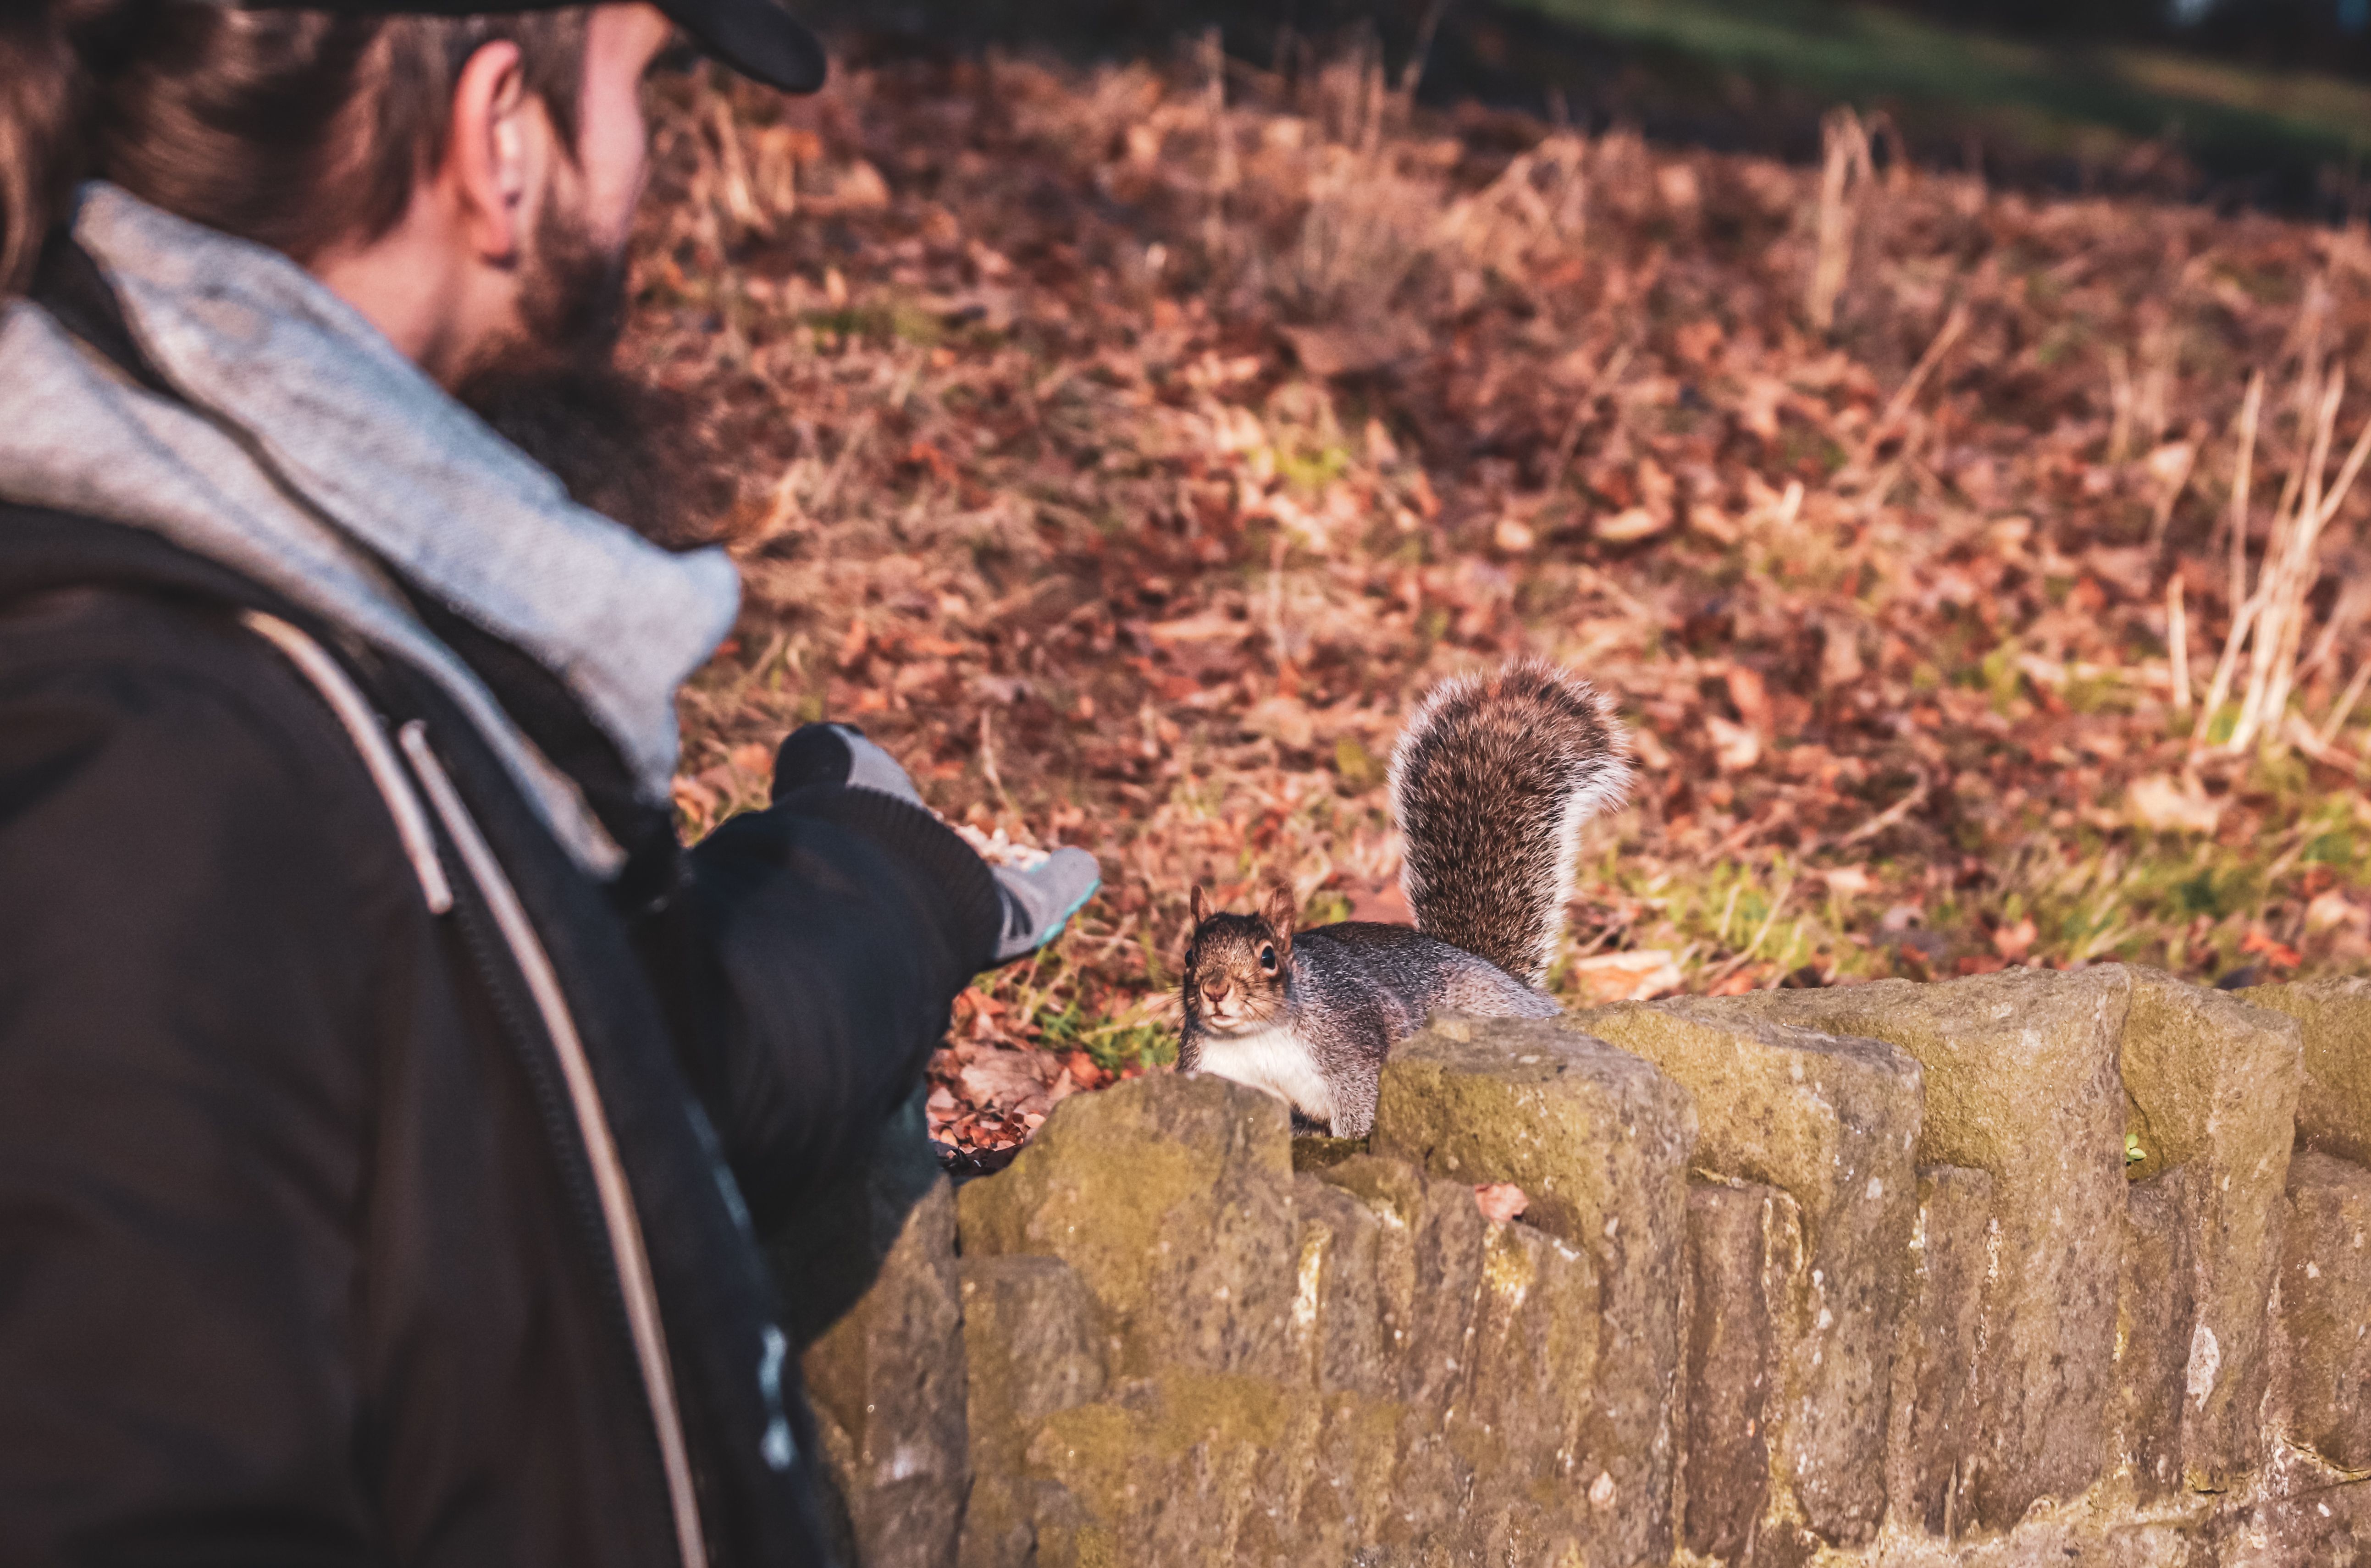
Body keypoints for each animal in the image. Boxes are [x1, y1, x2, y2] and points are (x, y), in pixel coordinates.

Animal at [1177, 659, 1631, 1138]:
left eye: (1268, 957)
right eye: (1190, 956)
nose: (1215, 990)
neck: (1254, 1039)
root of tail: (1510, 982)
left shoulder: (1351, 1053)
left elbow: (1360, 1111)